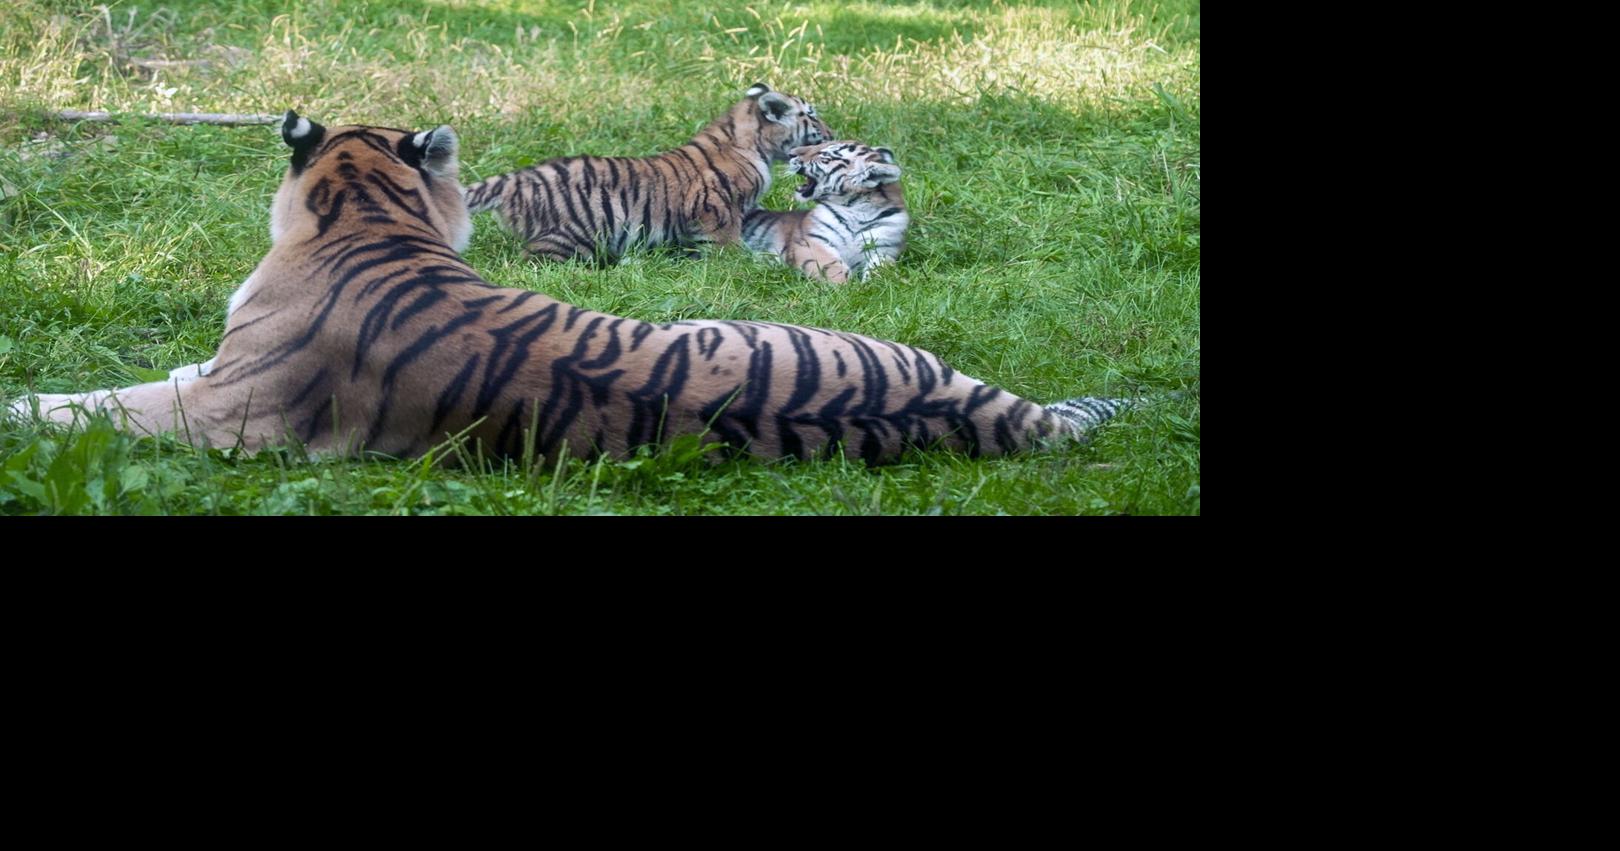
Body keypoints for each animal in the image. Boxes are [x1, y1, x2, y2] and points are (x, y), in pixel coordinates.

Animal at [461, 82, 833, 264]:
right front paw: (736, 266)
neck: (752, 145)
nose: (832, 133)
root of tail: (518, 178)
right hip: (570, 234)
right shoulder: (718, 208)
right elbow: (728, 244)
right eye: (812, 116)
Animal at [741, 140, 909, 283]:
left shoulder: (884, 248)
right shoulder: (812, 241)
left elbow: (881, 267)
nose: (790, 153)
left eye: (824, 156)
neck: (857, 210)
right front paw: (847, 288)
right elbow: (831, 266)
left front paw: (871, 285)